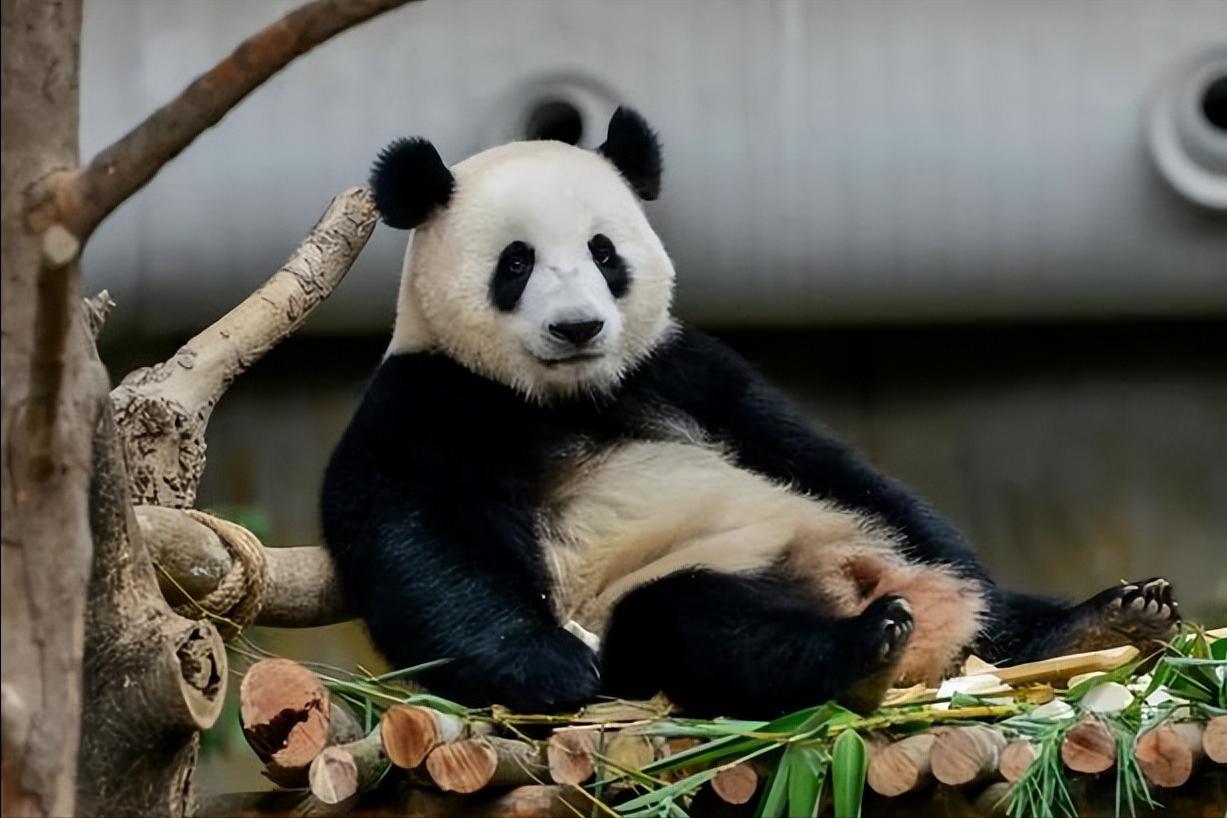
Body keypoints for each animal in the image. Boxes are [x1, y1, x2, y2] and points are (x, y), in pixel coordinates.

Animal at [321, 108, 1180, 717]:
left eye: (603, 252)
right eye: (516, 262)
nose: (577, 327)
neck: (570, 394)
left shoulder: (679, 371)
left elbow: (814, 454)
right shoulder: (427, 400)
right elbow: (420, 539)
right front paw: (550, 667)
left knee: (1001, 619)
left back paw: (1109, 618)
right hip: (693, 583)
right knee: (704, 629)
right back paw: (861, 645)